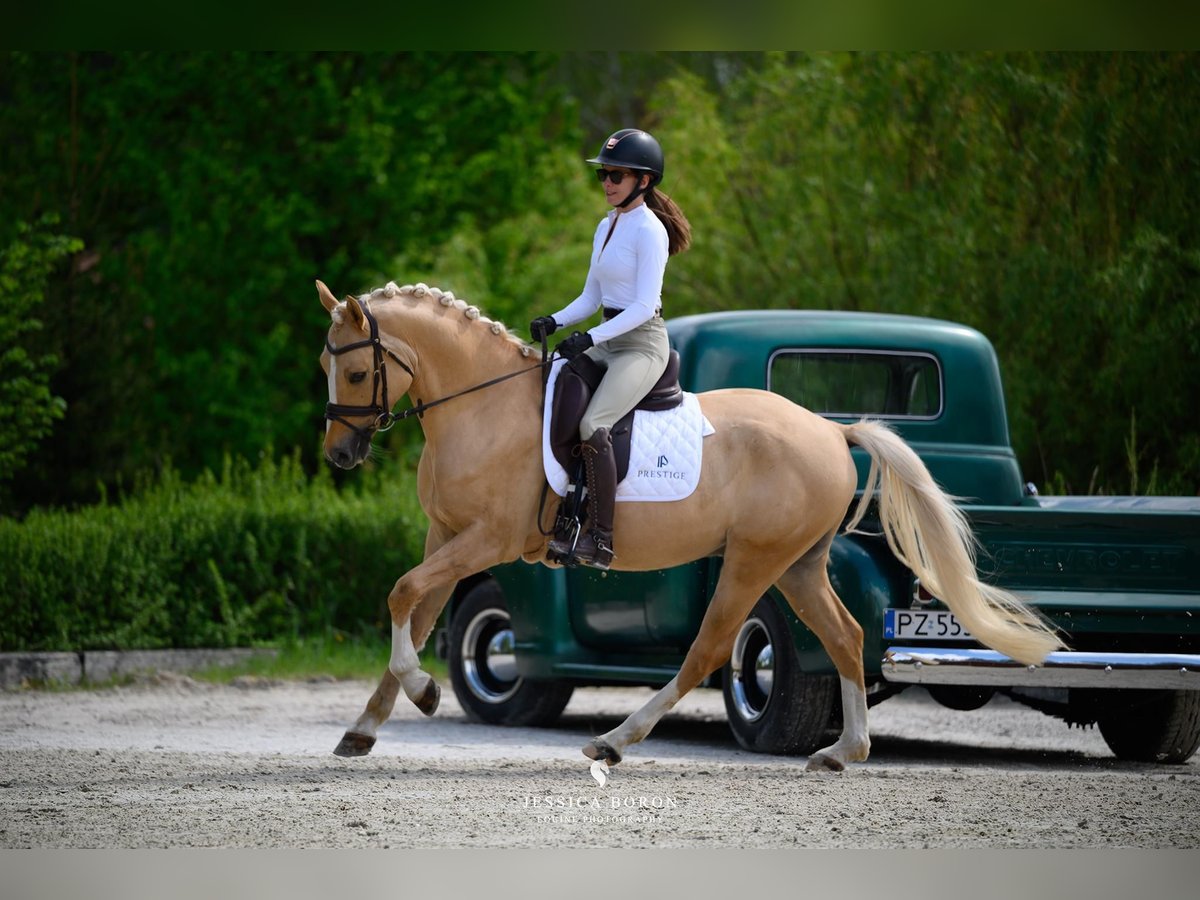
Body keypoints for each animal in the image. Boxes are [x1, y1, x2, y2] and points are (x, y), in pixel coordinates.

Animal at [317, 278, 1062, 772]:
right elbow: (413, 611)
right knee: (848, 637)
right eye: (327, 365)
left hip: (754, 561)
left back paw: (615, 741)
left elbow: (402, 595)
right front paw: (365, 728)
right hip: (799, 564)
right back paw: (844, 752)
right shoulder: (445, 536)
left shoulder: (487, 542)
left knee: (711, 650)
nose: (340, 455)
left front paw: (424, 691)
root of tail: (829, 429)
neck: (481, 408)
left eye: (353, 372)